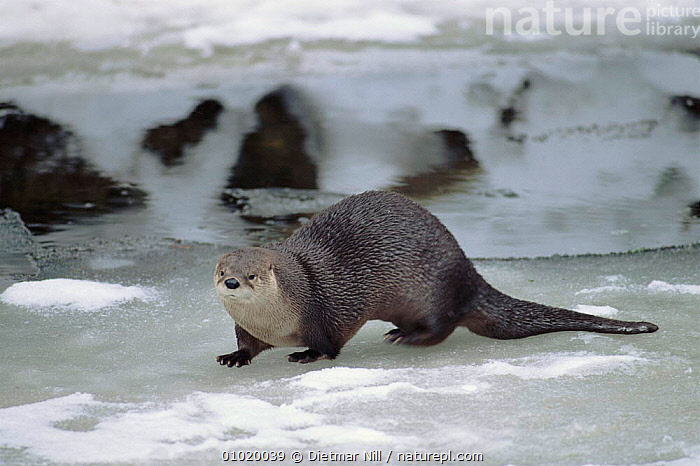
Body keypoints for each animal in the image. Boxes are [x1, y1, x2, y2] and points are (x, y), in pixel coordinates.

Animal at [214, 191, 658, 366]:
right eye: (221, 271)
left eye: (252, 274)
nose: (232, 284)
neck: (278, 323)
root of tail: (468, 274)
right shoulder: (248, 326)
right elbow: (246, 343)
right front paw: (235, 356)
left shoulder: (330, 307)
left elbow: (331, 341)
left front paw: (308, 354)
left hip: (433, 288)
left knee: (445, 323)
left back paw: (407, 337)